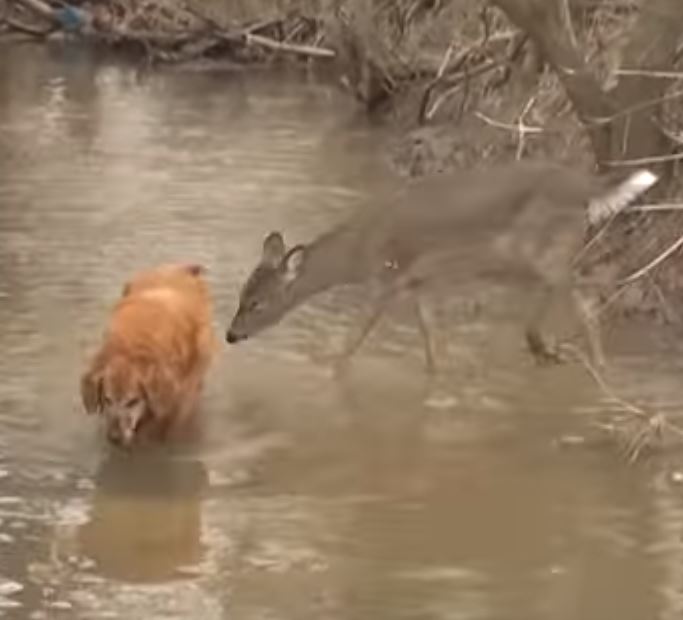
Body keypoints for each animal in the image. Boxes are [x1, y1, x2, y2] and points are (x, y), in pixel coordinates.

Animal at [225, 161, 657, 375]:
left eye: (258, 303)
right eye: (242, 294)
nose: (230, 335)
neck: (359, 249)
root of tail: (585, 188)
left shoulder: (388, 276)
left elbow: (354, 338)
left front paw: (328, 368)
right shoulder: (421, 284)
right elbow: (431, 342)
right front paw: (437, 377)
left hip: (541, 248)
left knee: (582, 292)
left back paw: (582, 360)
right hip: (528, 259)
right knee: (571, 289)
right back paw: (545, 349)